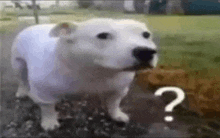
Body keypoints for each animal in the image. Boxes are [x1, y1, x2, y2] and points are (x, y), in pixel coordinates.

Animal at [11, 18, 158, 130]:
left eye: (146, 35)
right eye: (103, 35)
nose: (146, 51)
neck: (95, 71)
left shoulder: (119, 89)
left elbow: (114, 103)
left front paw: (116, 115)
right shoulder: (43, 93)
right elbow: (47, 108)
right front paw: (49, 122)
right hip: (18, 64)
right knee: (21, 79)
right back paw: (22, 91)